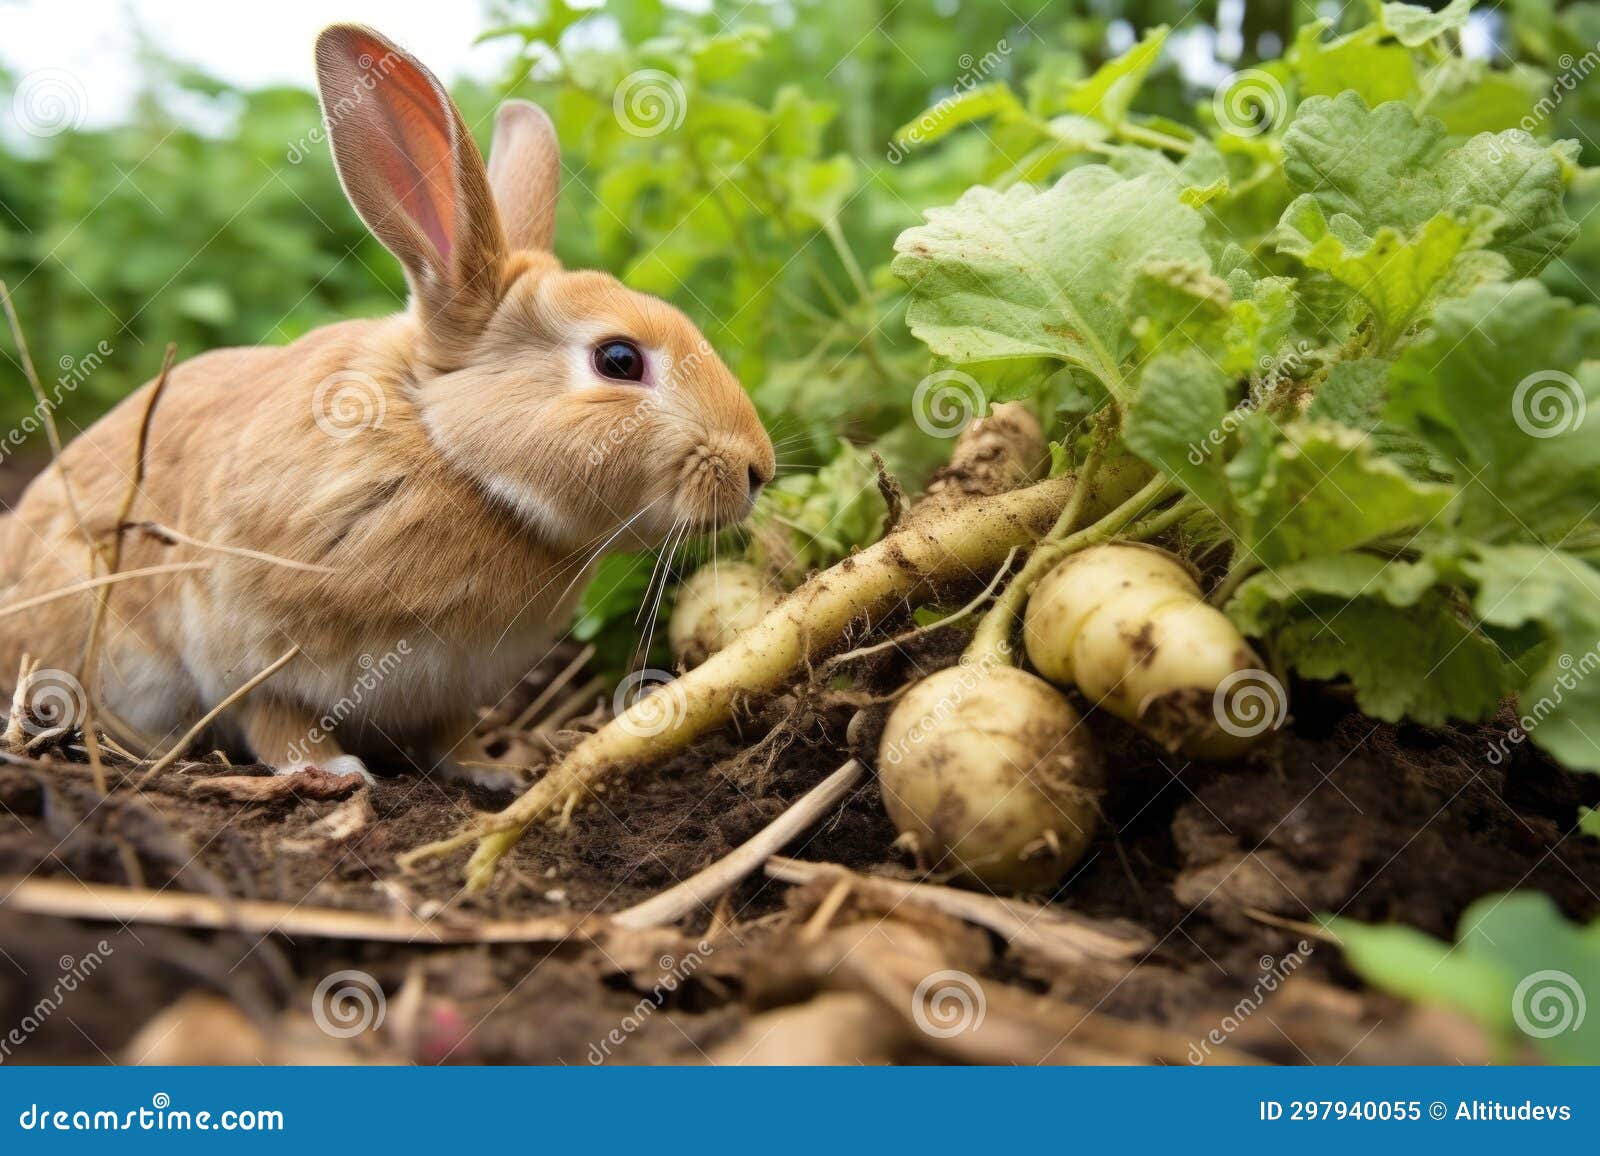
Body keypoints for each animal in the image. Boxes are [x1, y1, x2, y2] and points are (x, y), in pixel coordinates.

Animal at [0, 25, 775, 785]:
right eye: (618, 360)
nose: (758, 470)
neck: (448, 452)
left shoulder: (449, 691)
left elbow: (449, 734)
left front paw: (494, 774)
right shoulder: (246, 650)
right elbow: (276, 720)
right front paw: (335, 771)